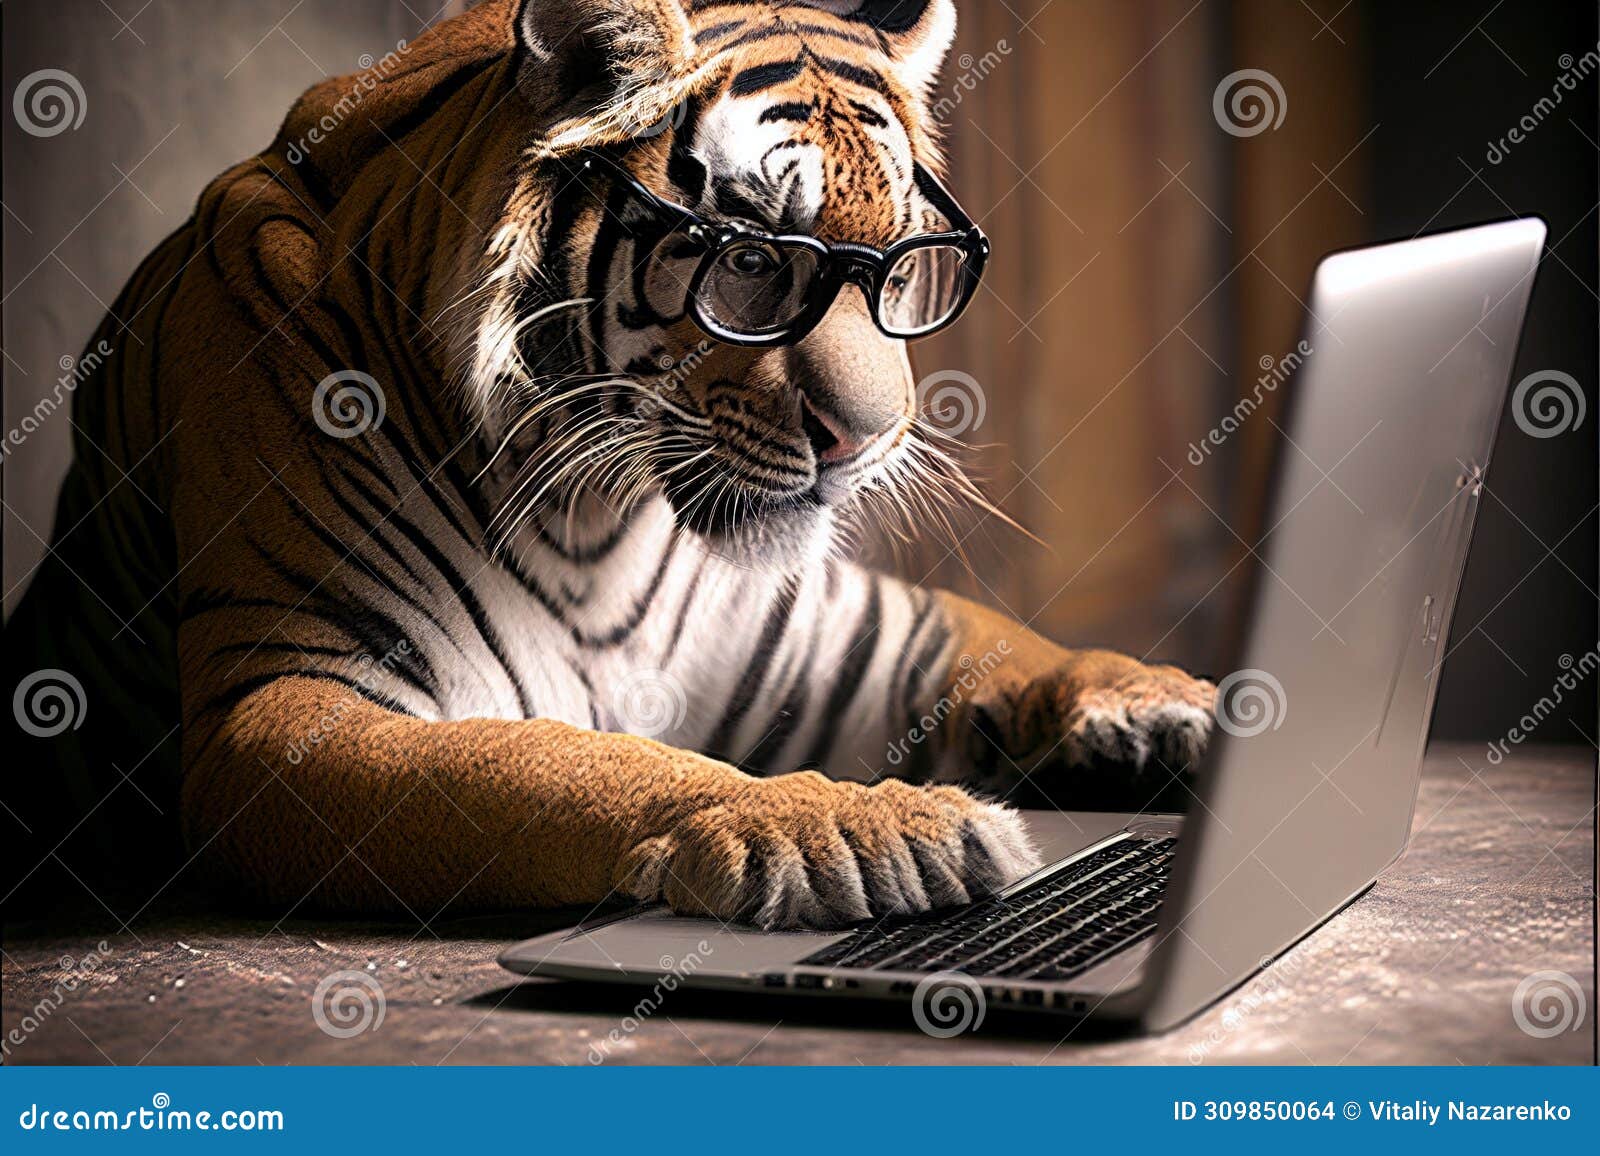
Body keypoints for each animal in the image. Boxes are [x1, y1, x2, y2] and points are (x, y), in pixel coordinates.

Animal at [3, 0, 1216, 930]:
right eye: (753, 261)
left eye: (904, 266)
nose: (869, 441)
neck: (594, 519)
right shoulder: (284, 700)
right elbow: (568, 763)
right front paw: (848, 824)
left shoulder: (846, 639)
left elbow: (1007, 642)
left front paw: (1164, 700)